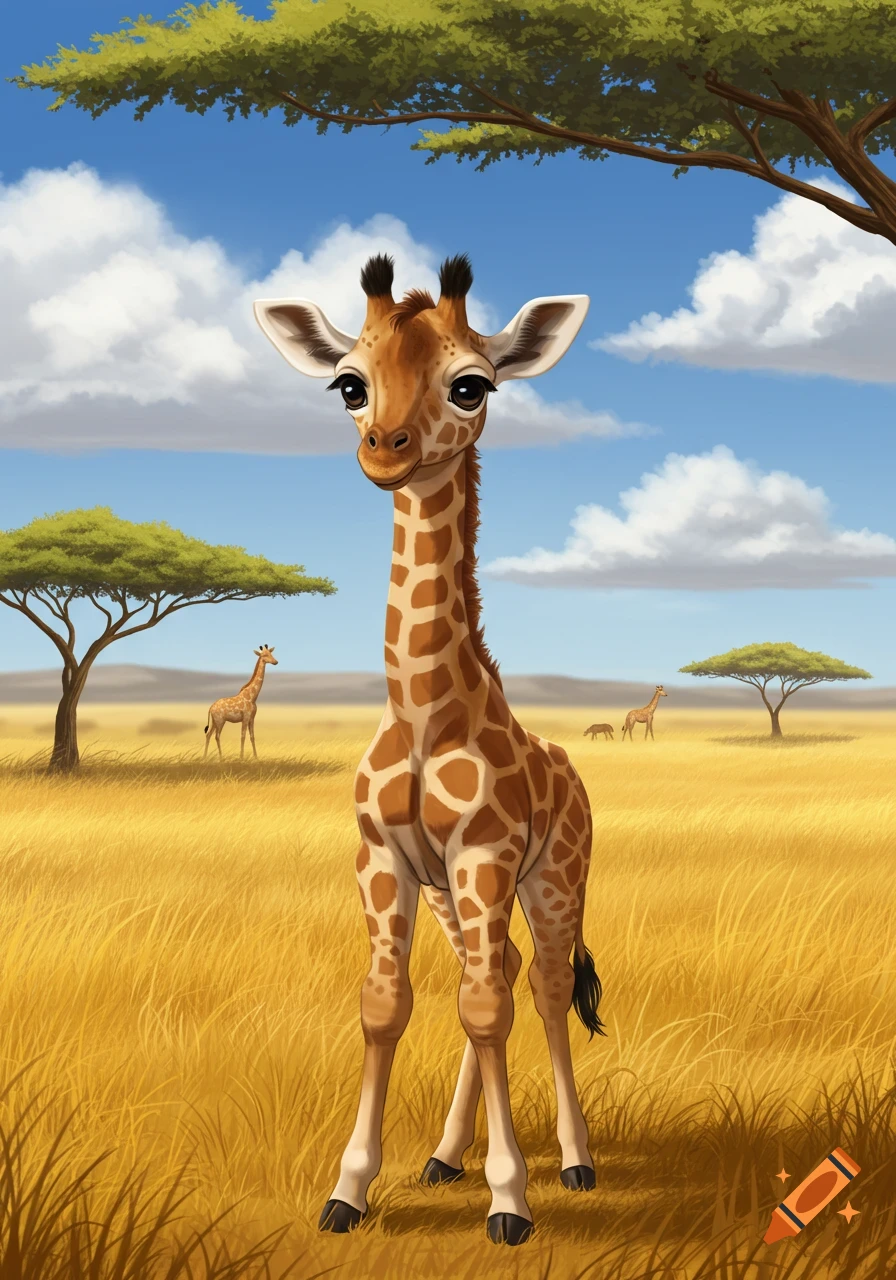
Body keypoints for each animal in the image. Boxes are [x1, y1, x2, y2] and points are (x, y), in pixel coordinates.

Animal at [255, 253, 605, 1247]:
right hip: (454, 892)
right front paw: (350, 1190)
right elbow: (388, 1007)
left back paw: (575, 1162)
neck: (419, 716)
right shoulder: (383, 859)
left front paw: (511, 1201)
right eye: (349, 383)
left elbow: (486, 1009)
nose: (386, 449)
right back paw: (446, 1156)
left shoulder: (485, 853)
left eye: (471, 383)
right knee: (503, 974)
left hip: (554, 876)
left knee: (543, 985)